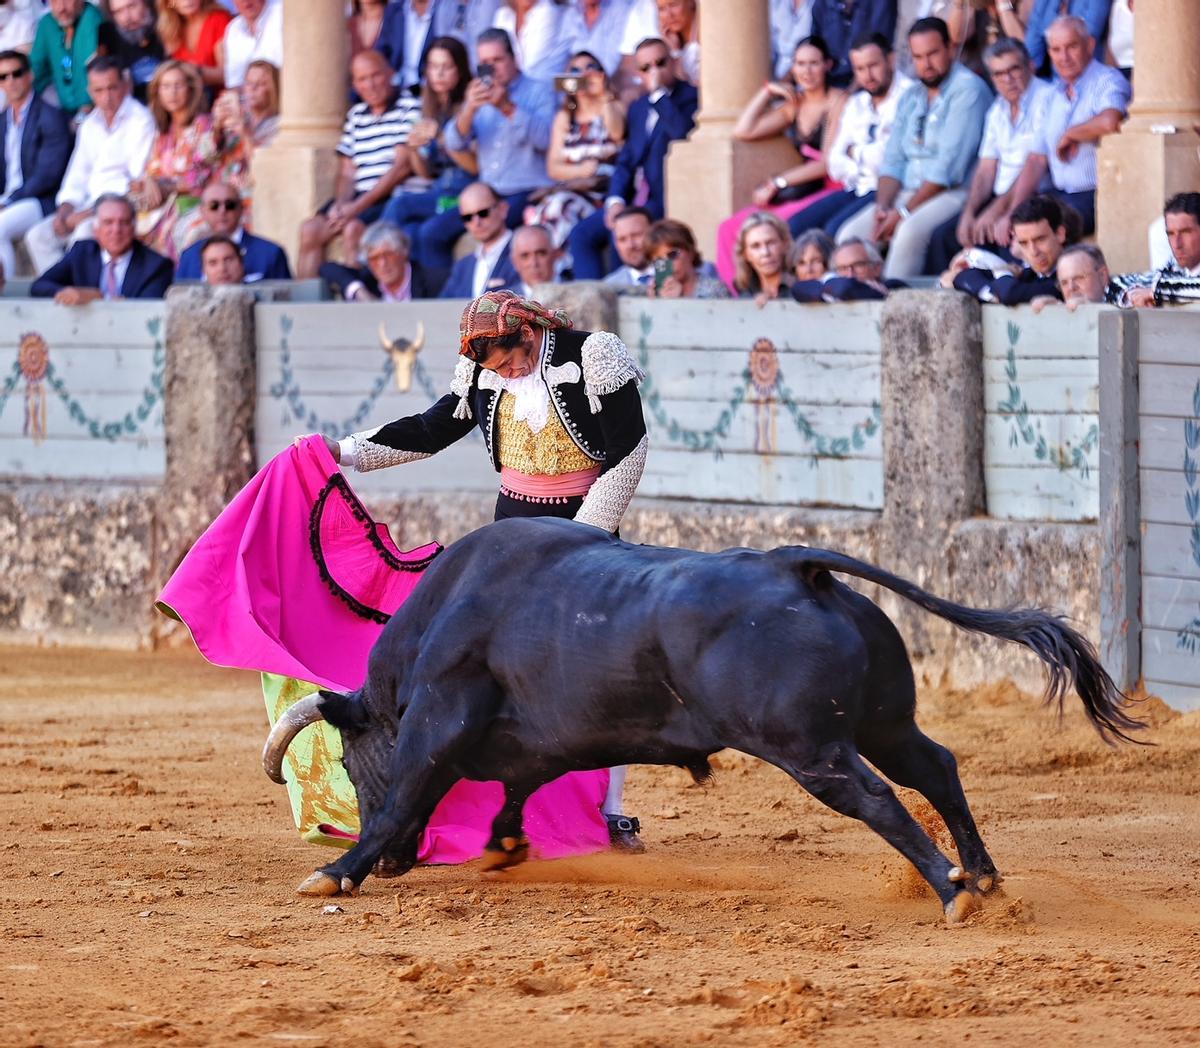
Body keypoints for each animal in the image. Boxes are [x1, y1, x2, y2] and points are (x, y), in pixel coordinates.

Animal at [262, 516, 1142, 921]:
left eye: (351, 761)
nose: (396, 867)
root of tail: (795, 564)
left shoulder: (438, 720)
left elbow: (413, 791)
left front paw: (336, 871)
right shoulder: (538, 743)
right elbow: (520, 787)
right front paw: (503, 847)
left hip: (808, 747)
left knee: (878, 798)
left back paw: (950, 892)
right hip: (883, 723)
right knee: (935, 767)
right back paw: (981, 876)